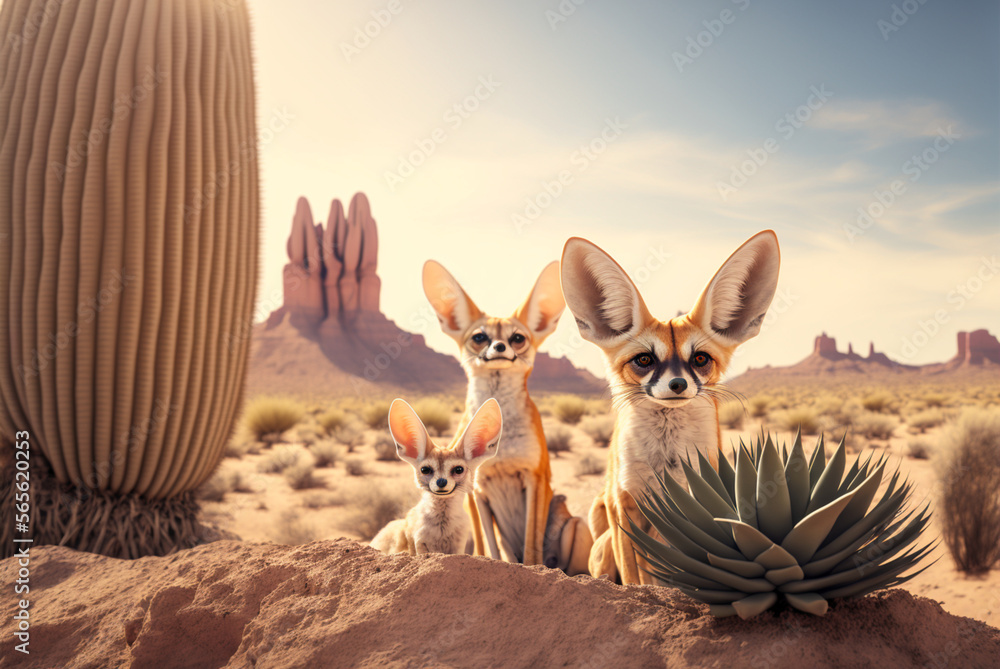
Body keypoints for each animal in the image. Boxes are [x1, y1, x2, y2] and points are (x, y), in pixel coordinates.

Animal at [370, 398, 502, 556]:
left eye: (458, 469)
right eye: (425, 470)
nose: (441, 481)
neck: (442, 526)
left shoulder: (459, 545)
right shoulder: (420, 542)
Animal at [422, 260, 567, 566]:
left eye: (517, 338)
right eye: (479, 337)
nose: (499, 347)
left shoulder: (534, 478)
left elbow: (531, 548)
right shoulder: (476, 489)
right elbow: (486, 546)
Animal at [559, 230, 780, 585]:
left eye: (700, 359)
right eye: (644, 360)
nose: (678, 384)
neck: (667, 462)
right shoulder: (624, 503)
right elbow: (635, 580)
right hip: (605, 540)